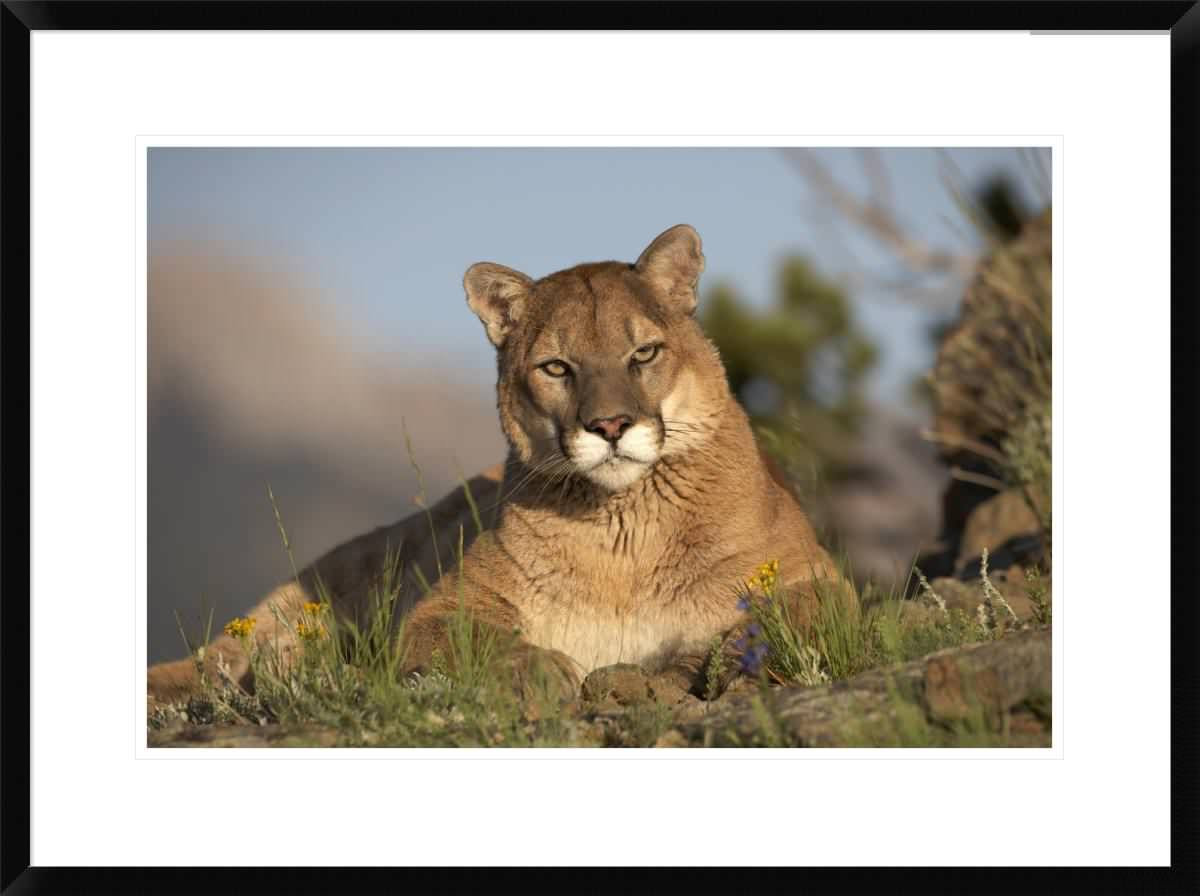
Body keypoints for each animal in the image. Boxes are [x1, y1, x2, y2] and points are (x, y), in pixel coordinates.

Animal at [147, 224, 853, 708]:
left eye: (644, 353)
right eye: (557, 367)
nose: (609, 426)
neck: (624, 537)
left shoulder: (815, 575)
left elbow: (789, 614)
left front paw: (727, 664)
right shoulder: (443, 608)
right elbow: (479, 640)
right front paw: (542, 669)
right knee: (216, 660)